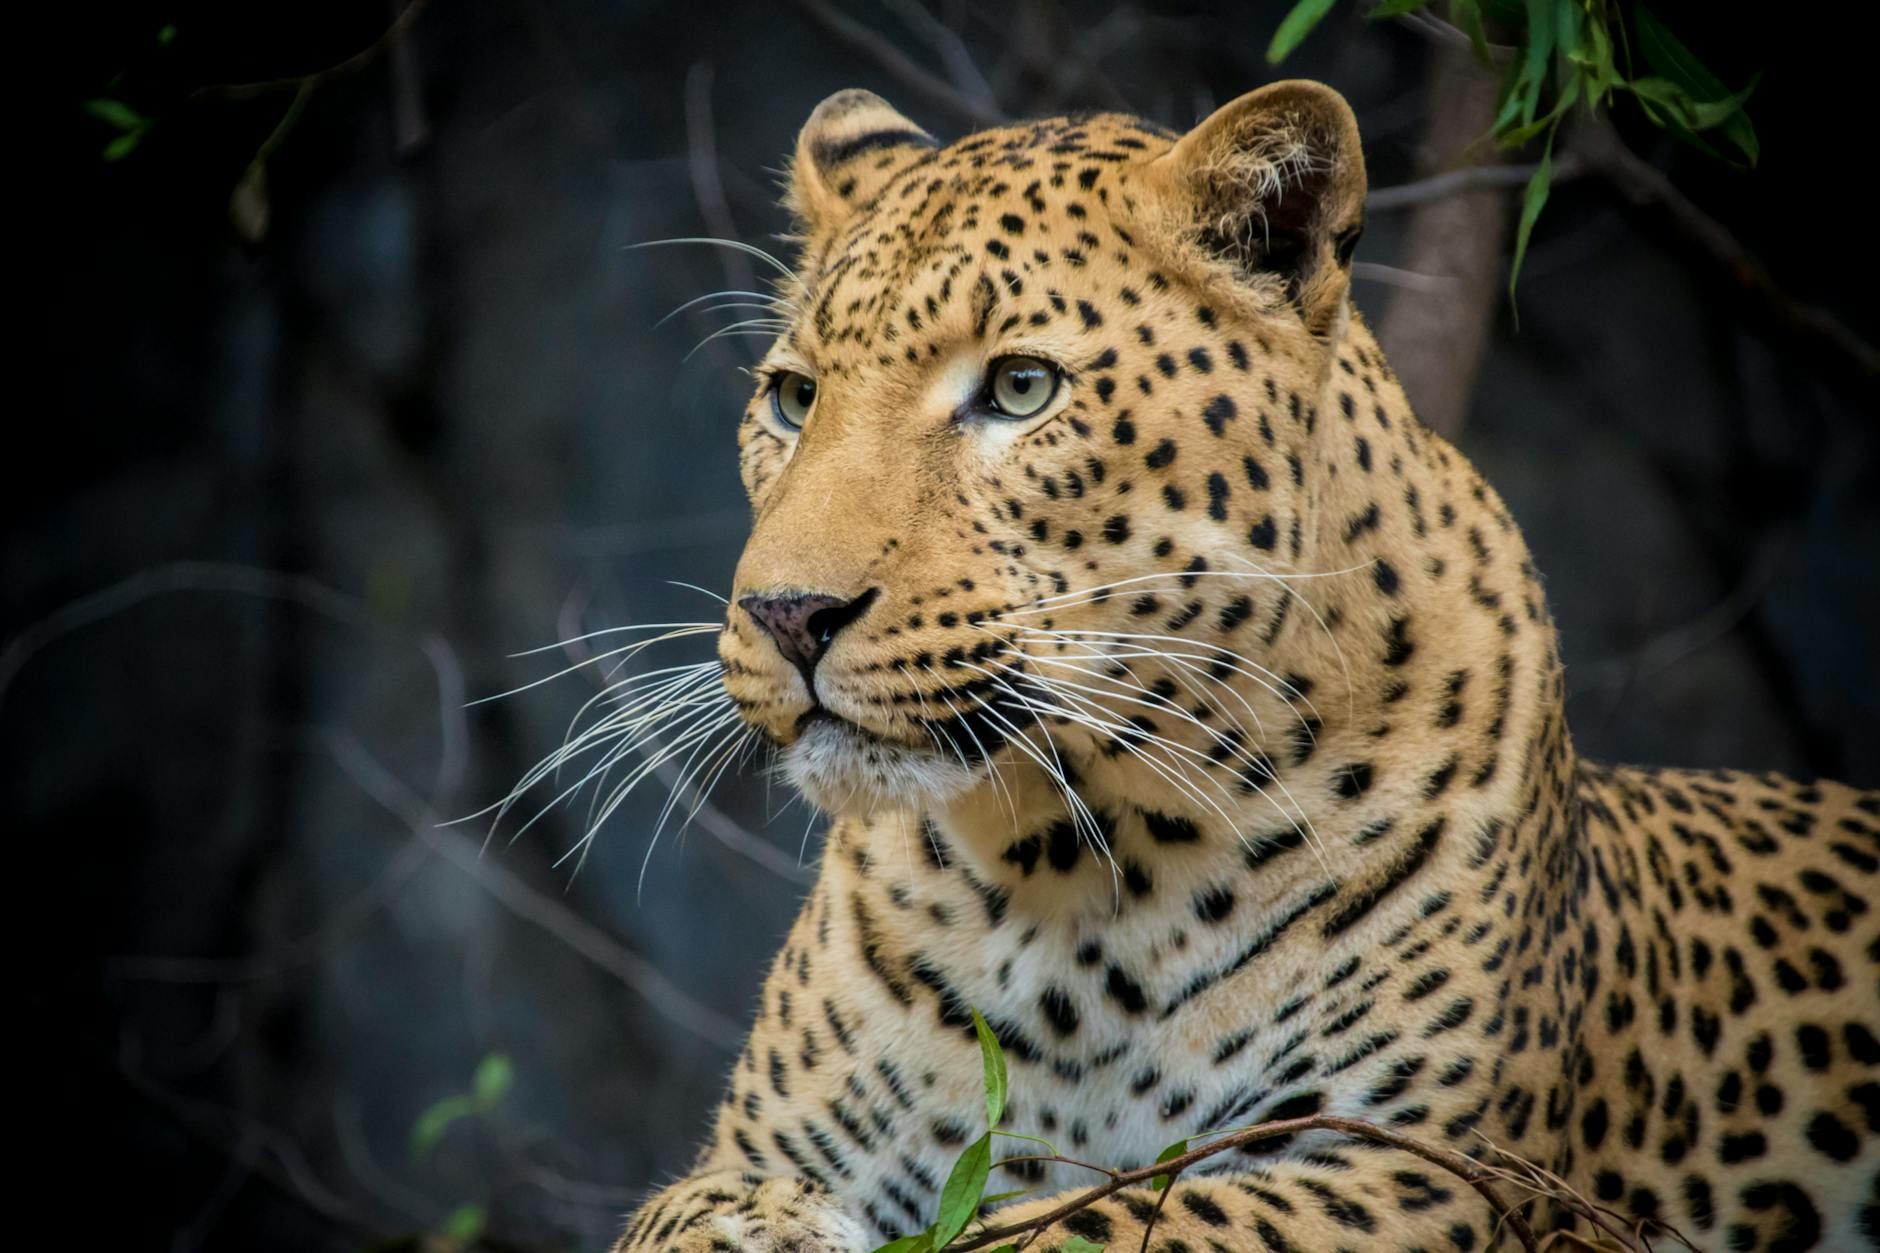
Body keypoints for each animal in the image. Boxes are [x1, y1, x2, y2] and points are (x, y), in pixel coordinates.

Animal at [611, 81, 1880, 1252]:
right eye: (793, 397)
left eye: (1020, 388)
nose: (786, 615)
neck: (1070, 880)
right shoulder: (753, 1151)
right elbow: (680, 1213)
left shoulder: (1413, 1171)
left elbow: (1104, 1222)